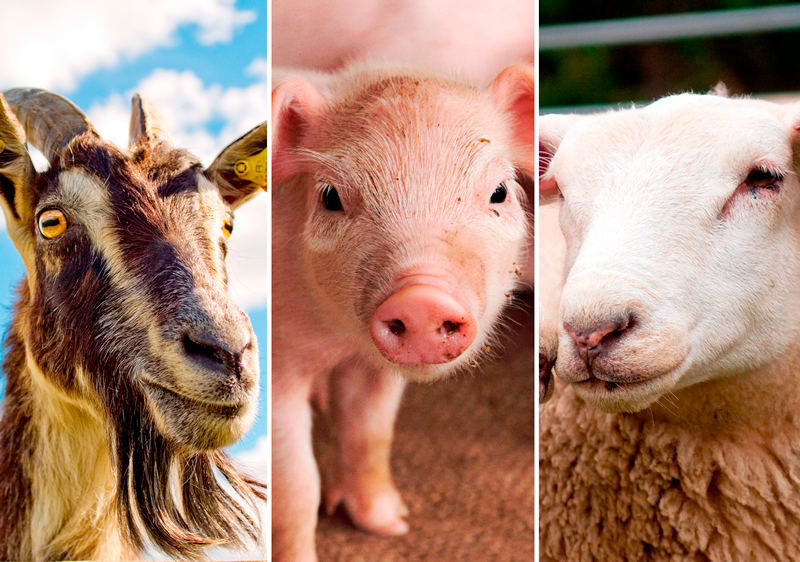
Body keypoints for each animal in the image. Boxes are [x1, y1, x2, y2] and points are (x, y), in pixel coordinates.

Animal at [271, 63, 534, 561]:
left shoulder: (373, 372)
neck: (337, 340)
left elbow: (371, 432)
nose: (421, 298)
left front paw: (393, 525)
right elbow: (295, 485)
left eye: (500, 192)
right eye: (331, 197)